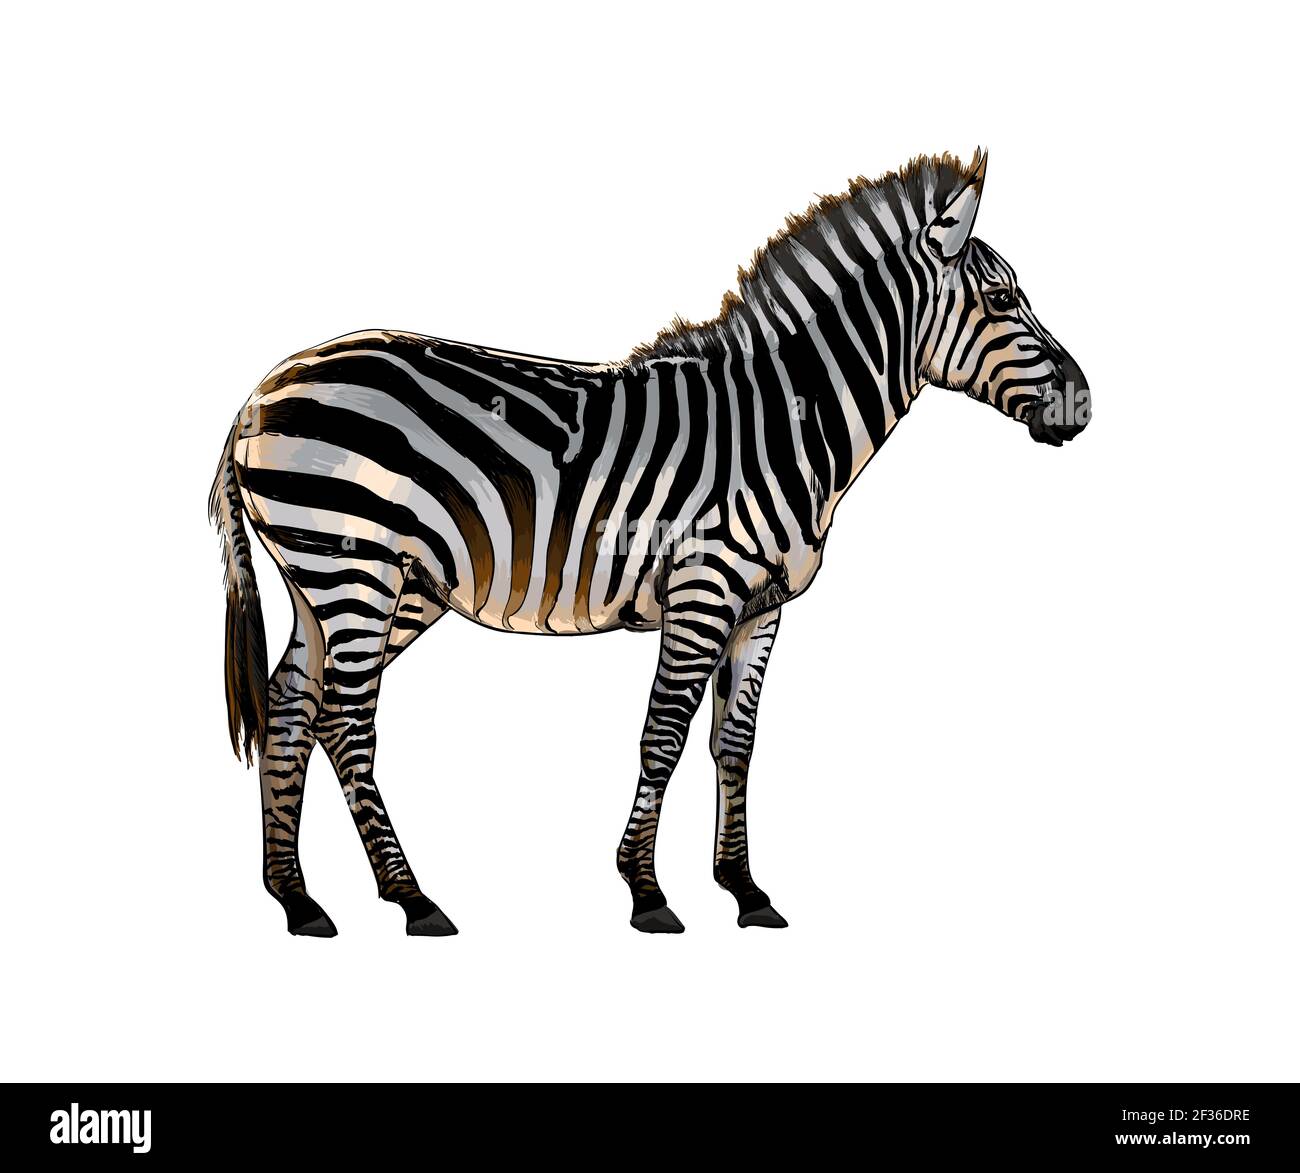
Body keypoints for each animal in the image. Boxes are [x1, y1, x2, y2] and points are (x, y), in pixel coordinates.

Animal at [210, 150, 1089, 937]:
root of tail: (261, 389)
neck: (783, 425)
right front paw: (645, 890)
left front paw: (745, 888)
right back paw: (412, 897)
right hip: (351, 567)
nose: (1084, 401)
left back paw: (297, 899)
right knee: (345, 719)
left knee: (292, 702)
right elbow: (662, 734)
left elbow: (735, 742)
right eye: (1004, 299)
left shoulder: (761, 606)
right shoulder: (703, 588)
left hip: (354, 583)